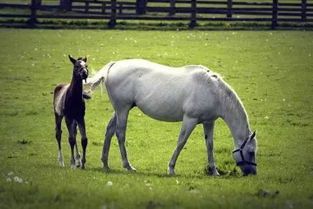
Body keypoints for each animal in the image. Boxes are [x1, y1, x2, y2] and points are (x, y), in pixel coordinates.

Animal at [85, 59, 256, 176]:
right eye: (251, 152)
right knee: (120, 134)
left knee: (109, 130)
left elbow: (209, 145)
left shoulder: (208, 122)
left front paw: (214, 171)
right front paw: (171, 168)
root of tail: (115, 65)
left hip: (121, 109)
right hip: (123, 109)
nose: (252, 173)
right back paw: (127, 165)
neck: (213, 91)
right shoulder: (190, 119)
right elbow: (181, 142)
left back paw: (105, 163)